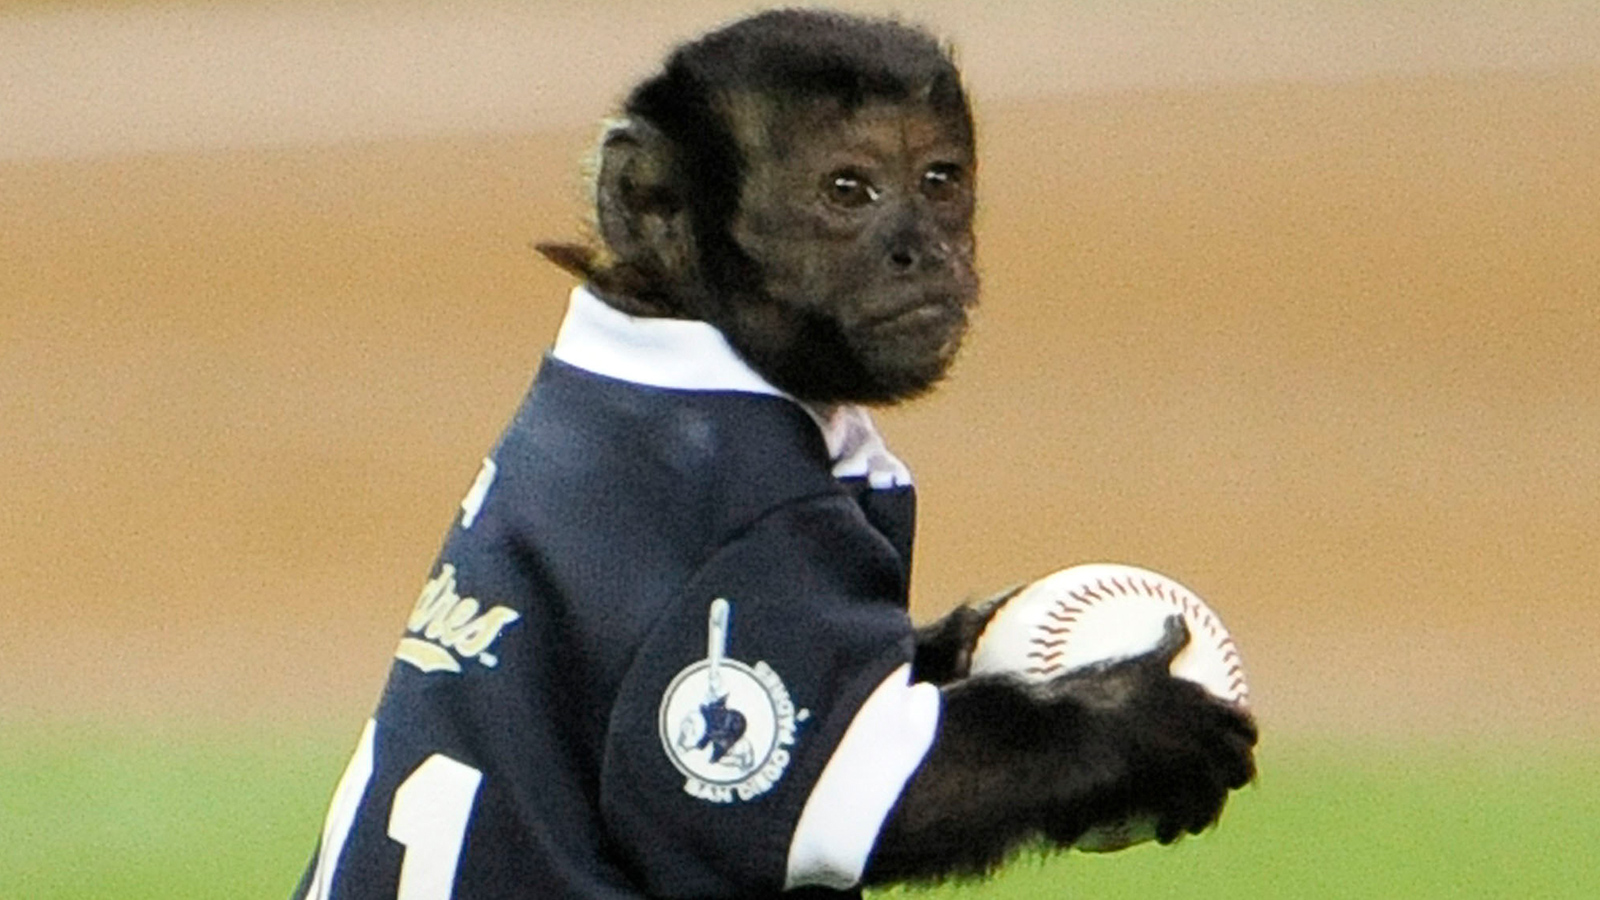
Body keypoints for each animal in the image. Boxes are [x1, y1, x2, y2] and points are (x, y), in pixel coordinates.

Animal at [293, 10, 1255, 900]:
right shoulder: (763, 553)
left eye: (941, 180)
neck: (681, 328)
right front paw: (1132, 719)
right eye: (847, 190)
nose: (923, 251)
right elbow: (907, 786)